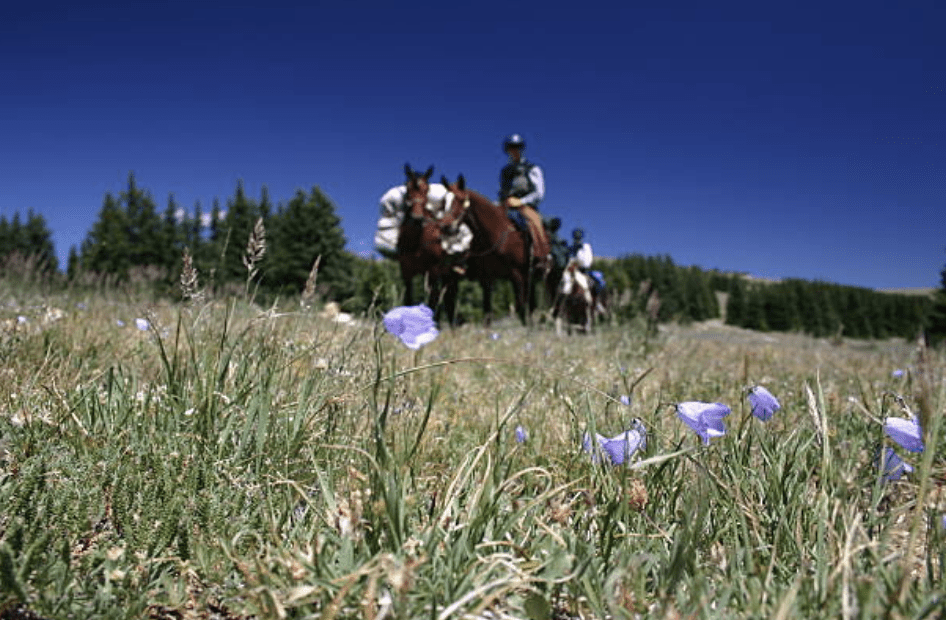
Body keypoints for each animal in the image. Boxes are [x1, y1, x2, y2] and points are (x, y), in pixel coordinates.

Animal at [396, 164, 460, 324]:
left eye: (427, 190)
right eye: (407, 188)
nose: (417, 219)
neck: (417, 241)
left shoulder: (433, 270)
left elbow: (433, 300)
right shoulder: (406, 271)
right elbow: (408, 299)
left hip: (448, 276)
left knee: (447, 299)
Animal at [439, 174, 550, 325]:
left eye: (461, 200)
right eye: (444, 201)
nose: (445, 227)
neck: (495, 234)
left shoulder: (517, 274)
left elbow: (521, 307)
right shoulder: (487, 277)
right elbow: (487, 311)